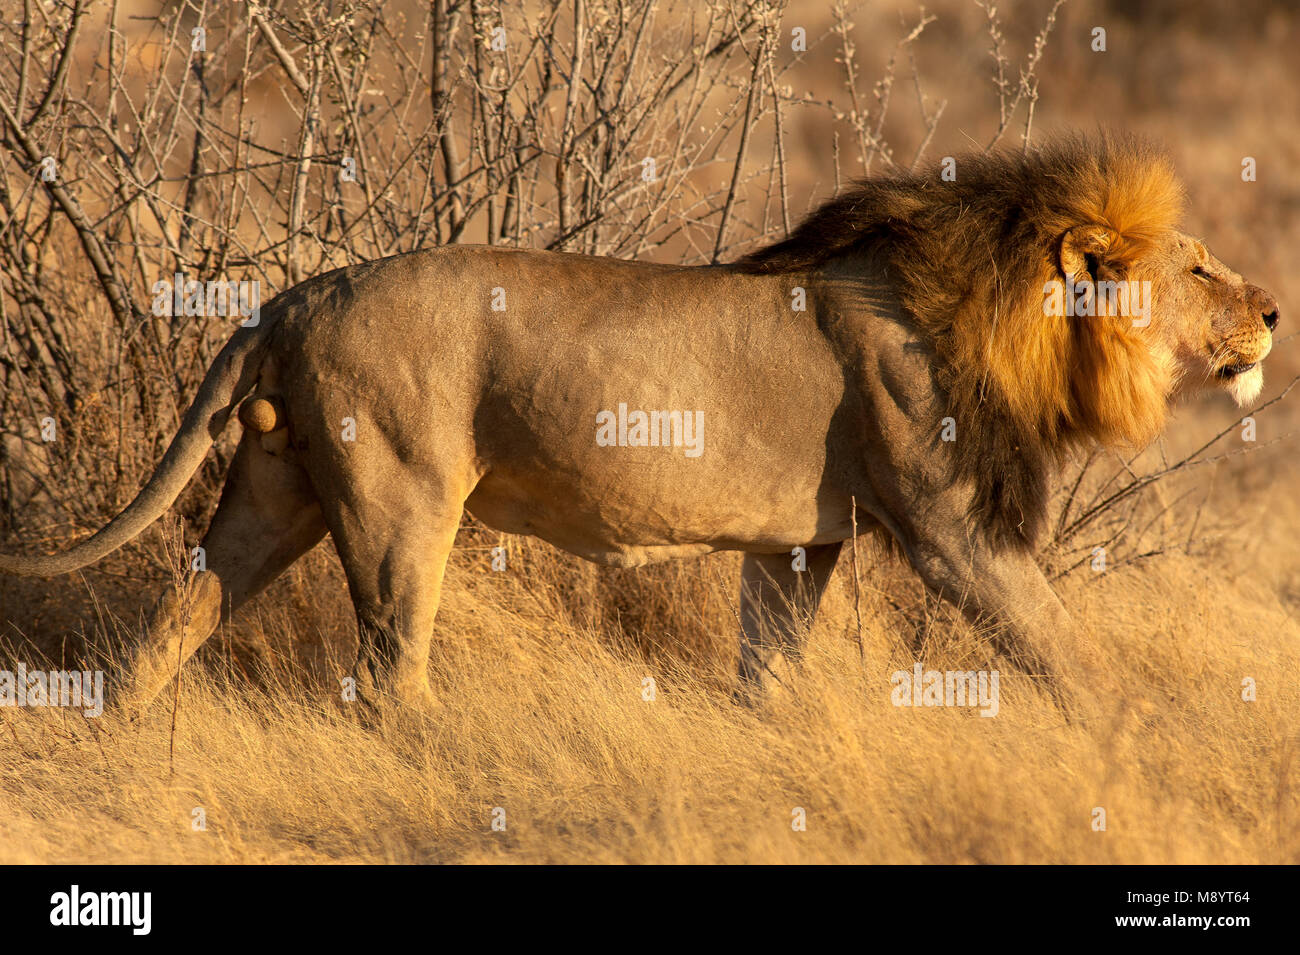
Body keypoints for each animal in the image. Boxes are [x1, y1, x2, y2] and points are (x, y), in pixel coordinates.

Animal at [0, 133, 1279, 718]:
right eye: (1197, 265)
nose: (1272, 309)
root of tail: (293, 295)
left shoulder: (796, 543)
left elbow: (768, 665)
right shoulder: (952, 529)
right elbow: (1063, 649)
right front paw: (1133, 735)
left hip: (277, 485)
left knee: (173, 622)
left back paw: (121, 735)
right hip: (401, 502)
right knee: (388, 668)